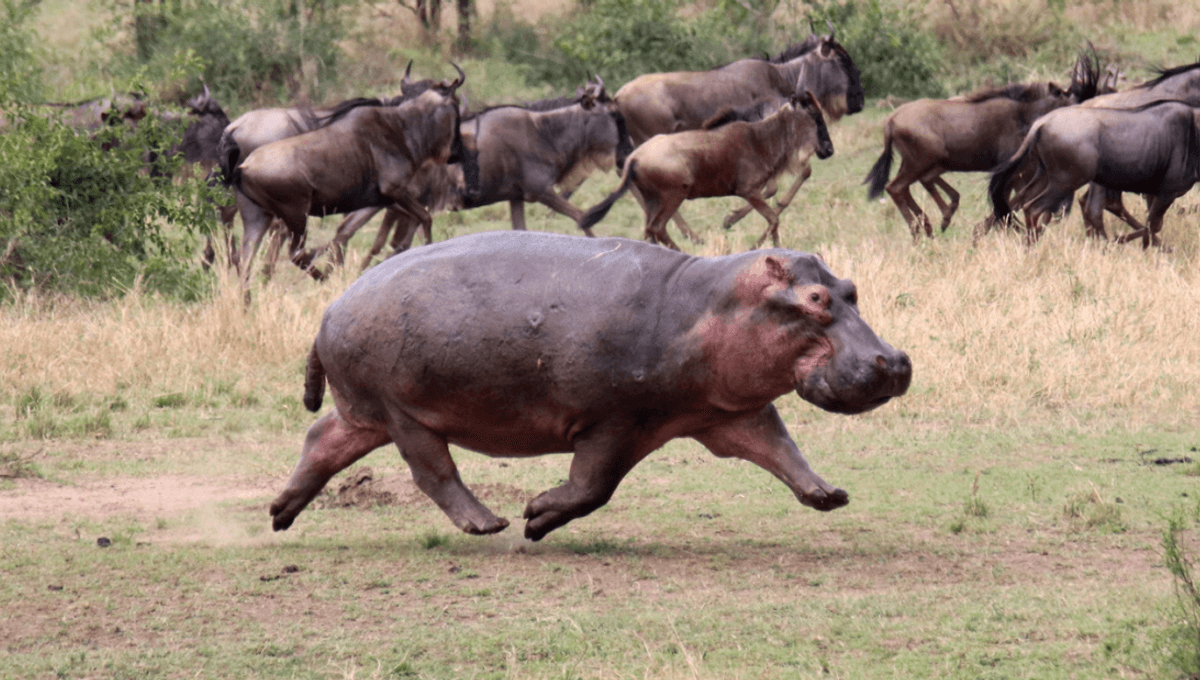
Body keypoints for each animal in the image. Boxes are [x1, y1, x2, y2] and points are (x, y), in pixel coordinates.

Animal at [270, 231, 911, 541]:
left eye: (851, 289)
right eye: (816, 299)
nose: (895, 361)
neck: (710, 303)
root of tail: (331, 308)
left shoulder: (729, 411)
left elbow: (780, 449)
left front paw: (829, 495)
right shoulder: (615, 421)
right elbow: (592, 487)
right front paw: (534, 516)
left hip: (366, 411)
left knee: (321, 439)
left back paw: (279, 513)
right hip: (405, 412)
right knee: (433, 471)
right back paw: (489, 524)